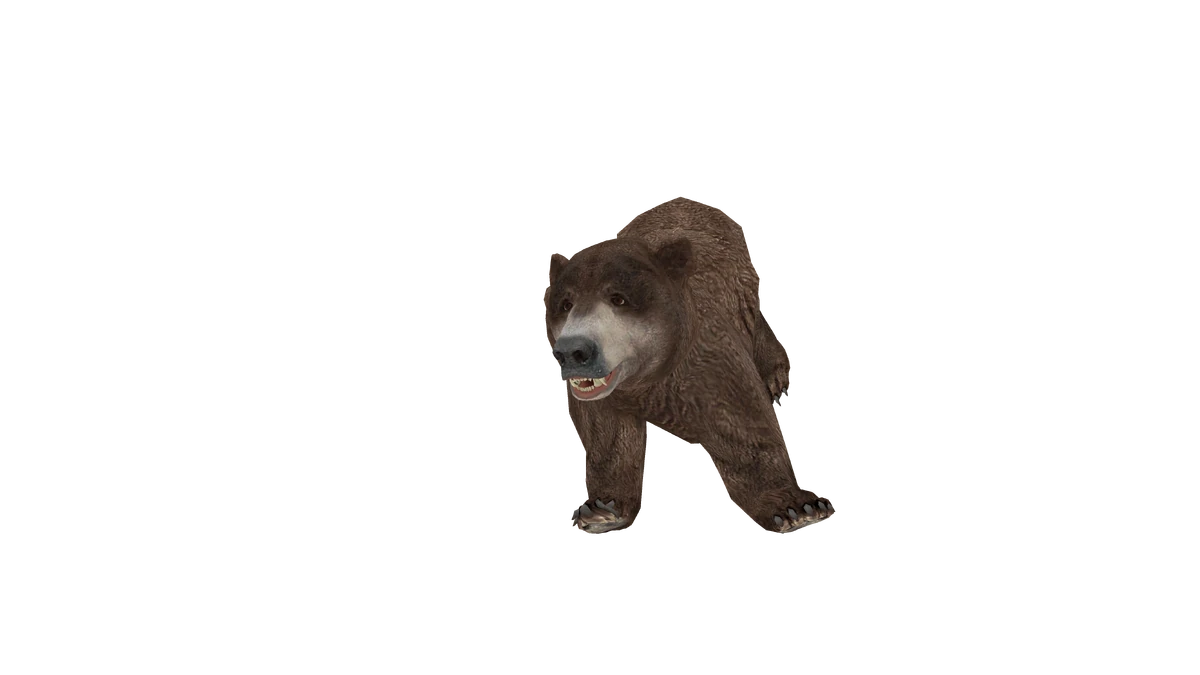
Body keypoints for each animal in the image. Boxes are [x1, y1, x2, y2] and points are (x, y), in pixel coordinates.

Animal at [544, 195, 835, 536]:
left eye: (618, 298)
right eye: (565, 303)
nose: (573, 350)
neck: (648, 374)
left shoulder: (706, 363)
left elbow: (747, 431)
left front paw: (799, 508)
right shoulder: (610, 396)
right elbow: (608, 440)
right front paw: (601, 510)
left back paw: (777, 378)